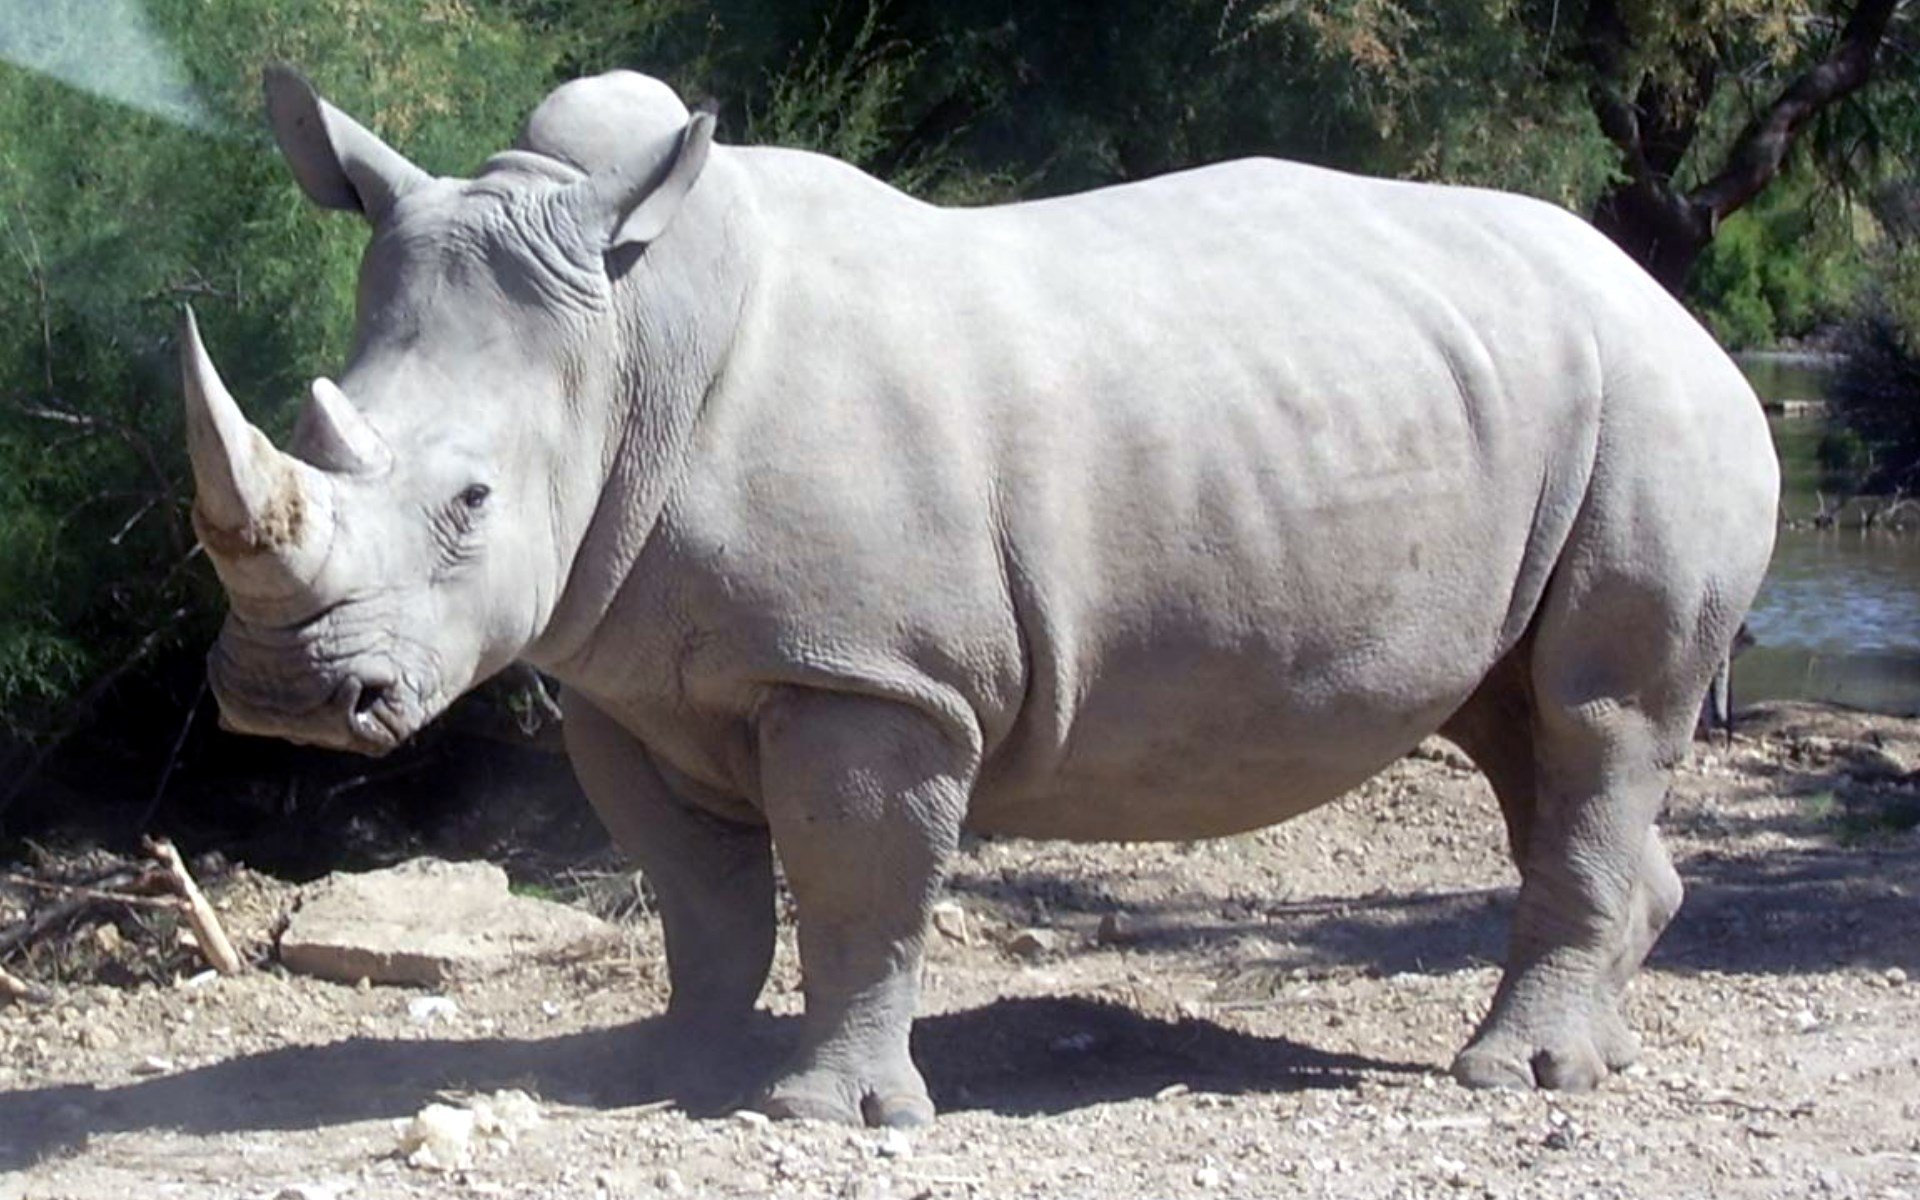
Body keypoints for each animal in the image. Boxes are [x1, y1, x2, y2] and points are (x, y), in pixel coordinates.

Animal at [184, 66, 1779, 1126]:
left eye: (472, 505)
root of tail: (1684, 312)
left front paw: (826, 1116)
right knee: (1530, 731)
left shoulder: (873, 672)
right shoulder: (621, 679)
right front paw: (667, 1070)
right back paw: (1602, 1052)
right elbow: (699, 895)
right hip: (1533, 402)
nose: (282, 697)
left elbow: (855, 880)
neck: (631, 342)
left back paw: (1517, 1078)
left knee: (1595, 719)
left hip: (1660, 407)